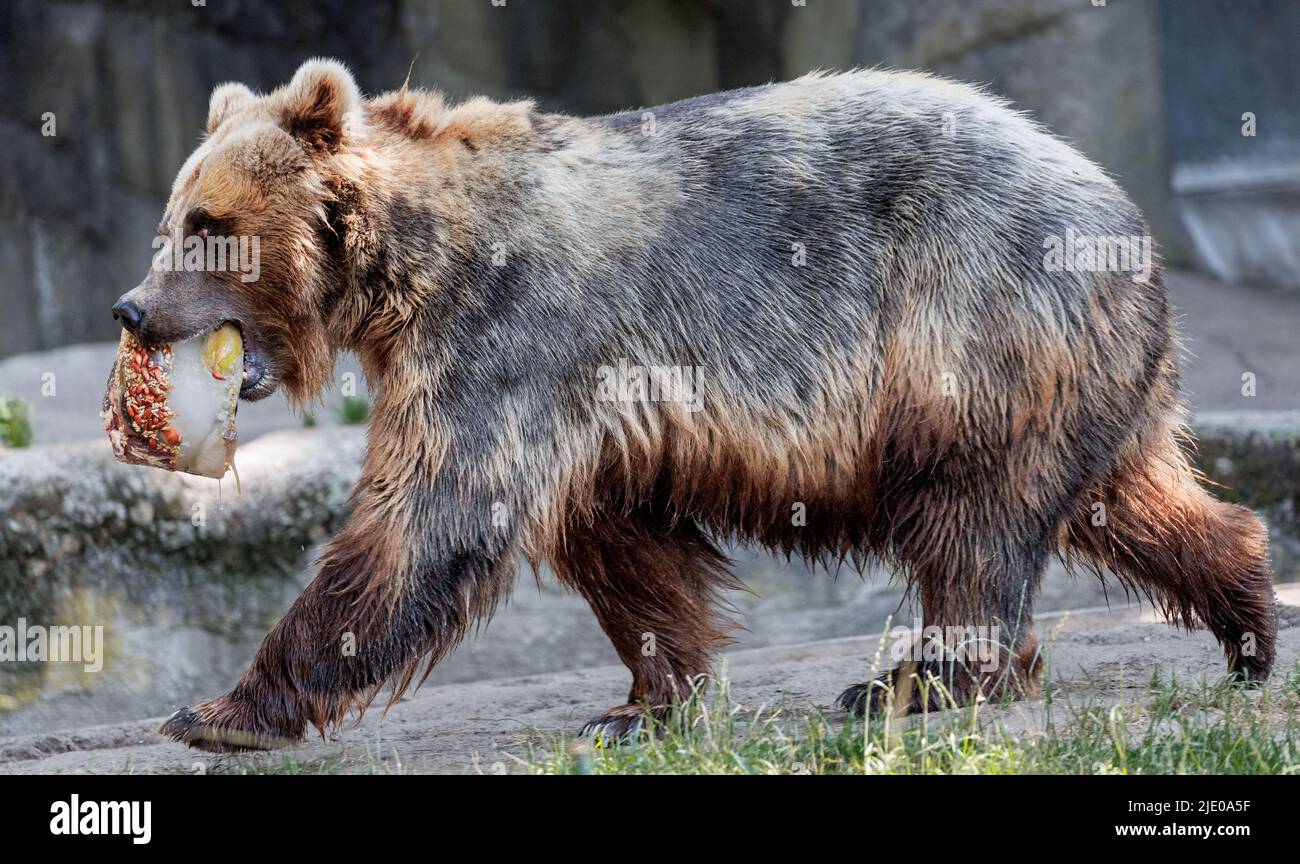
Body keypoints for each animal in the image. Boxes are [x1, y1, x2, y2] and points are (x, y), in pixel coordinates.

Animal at [106, 59, 1277, 751]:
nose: (132, 306)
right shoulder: (592, 404)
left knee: (969, 519)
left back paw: (917, 683)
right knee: (1127, 501)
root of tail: (1122, 212)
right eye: (172, 221)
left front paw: (218, 709)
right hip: (1079, 373)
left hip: (966, 322)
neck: (412, 265)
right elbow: (619, 539)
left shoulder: (511, 338)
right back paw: (1249, 622)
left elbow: (428, 521)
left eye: (206, 224)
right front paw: (643, 701)